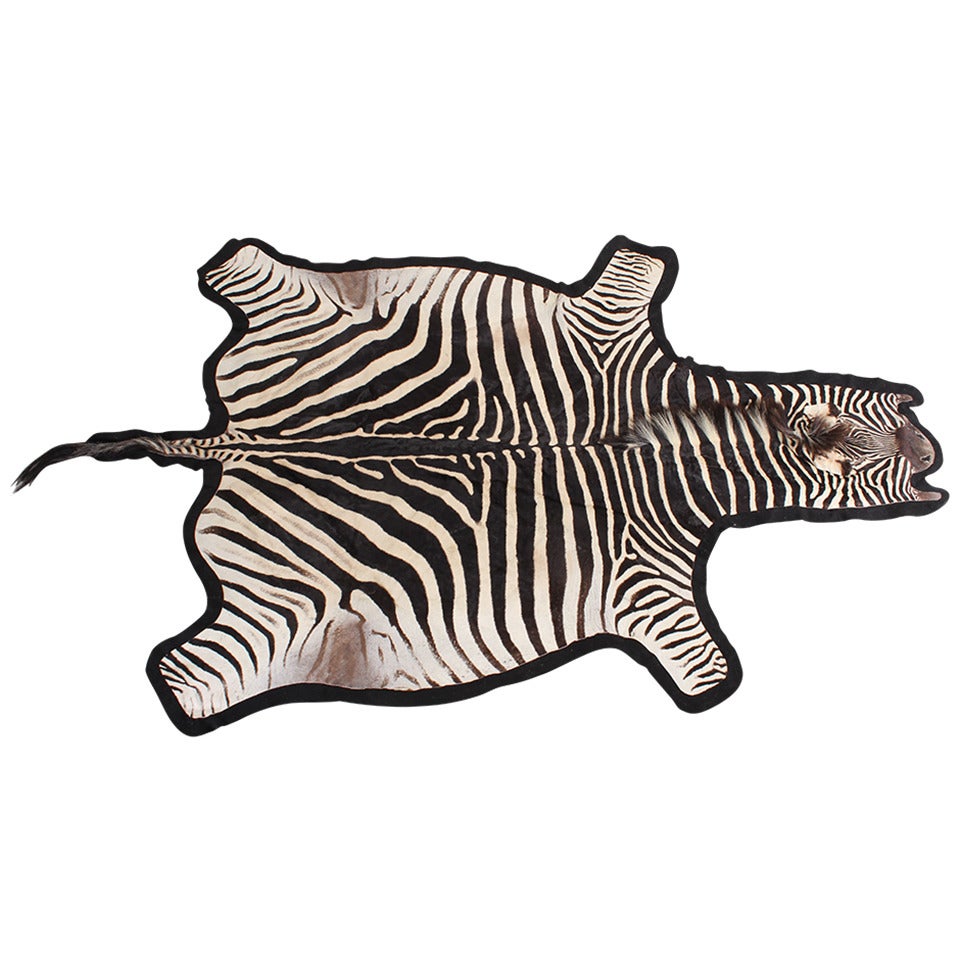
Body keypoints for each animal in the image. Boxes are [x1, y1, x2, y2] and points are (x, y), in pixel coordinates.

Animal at [16, 237, 946, 734]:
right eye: (883, 442)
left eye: (902, 413)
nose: (934, 447)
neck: (689, 440)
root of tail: (235, 438)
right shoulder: (648, 572)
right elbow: (636, 273)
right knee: (187, 676)